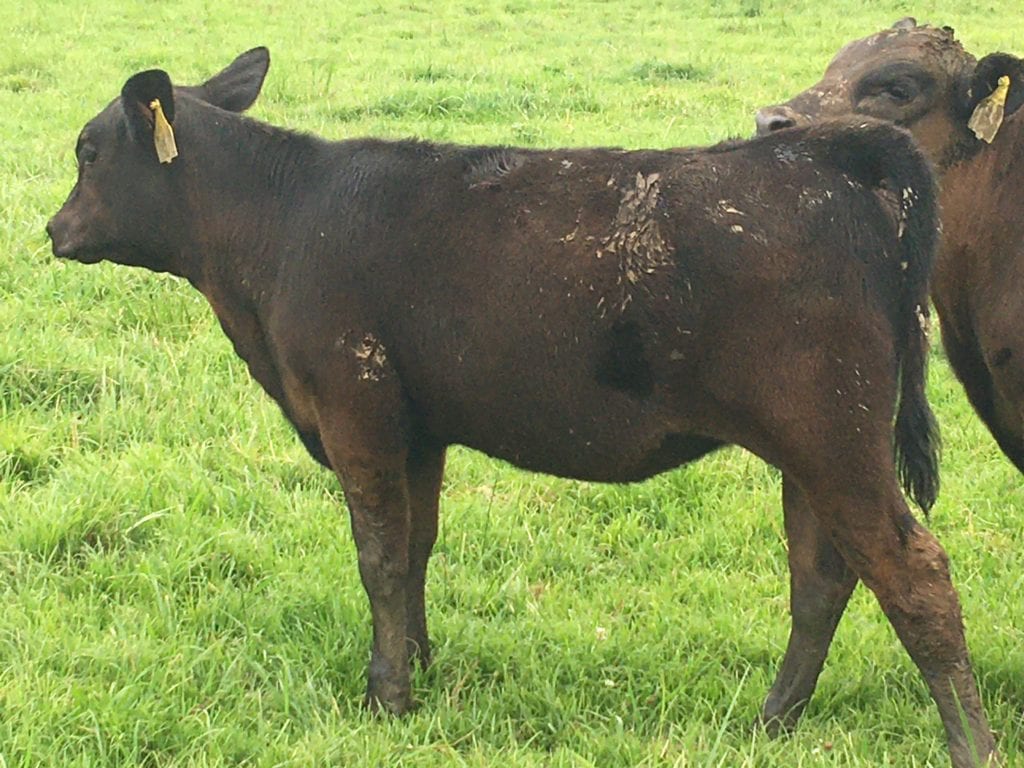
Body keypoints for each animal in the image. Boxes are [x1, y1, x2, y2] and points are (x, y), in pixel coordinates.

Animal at [46, 49, 995, 767]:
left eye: (89, 151)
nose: (53, 230)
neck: (284, 224)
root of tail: (827, 157)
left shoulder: (357, 412)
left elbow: (379, 557)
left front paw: (385, 696)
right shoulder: (417, 431)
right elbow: (416, 549)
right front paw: (421, 669)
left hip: (835, 439)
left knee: (914, 575)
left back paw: (970, 744)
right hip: (813, 450)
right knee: (823, 577)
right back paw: (771, 721)